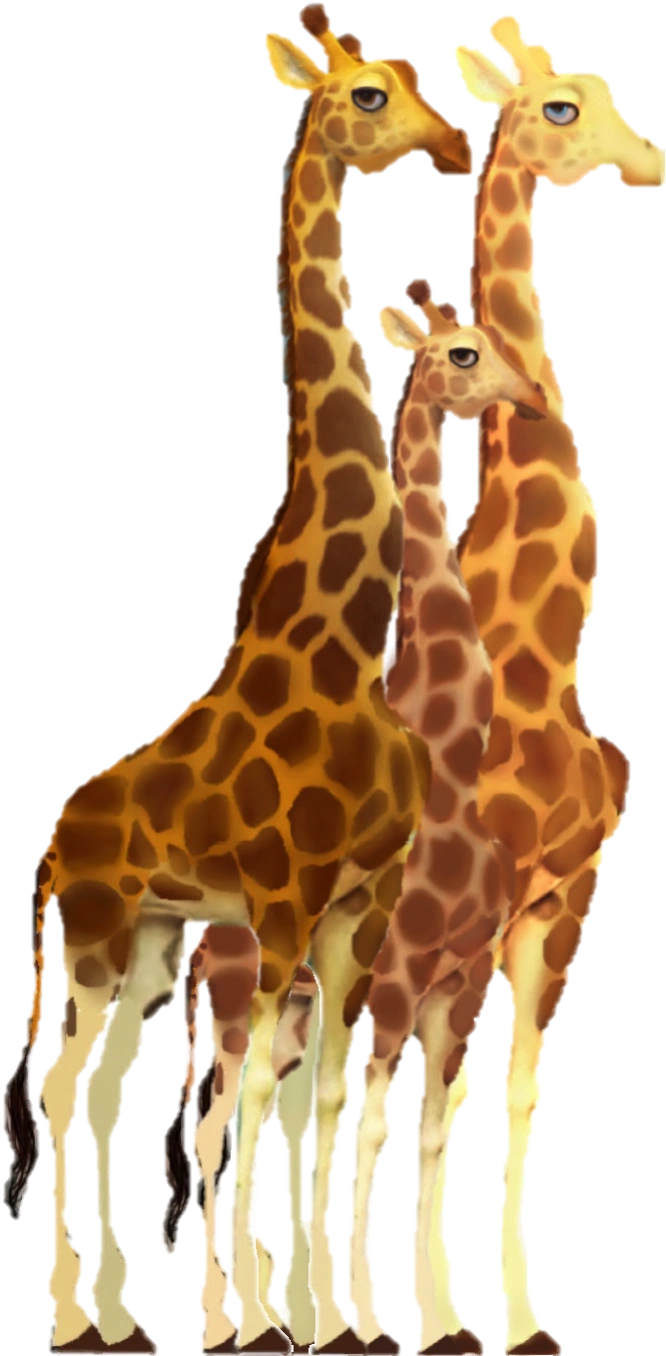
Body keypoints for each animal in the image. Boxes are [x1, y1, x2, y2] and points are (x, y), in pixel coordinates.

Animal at [172, 286, 547, 1355]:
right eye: (464, 353)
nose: (531, 398)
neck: (453, 765)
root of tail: (200, 938)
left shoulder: (459, 985)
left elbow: (422, 1134)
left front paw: (445, 1321)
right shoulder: (399, 982)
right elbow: (371, 1131)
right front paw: (380, 1320)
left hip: (294, 1013)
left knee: (244, 1122)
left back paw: (254, 1314)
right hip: (244, 1007)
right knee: (215, 1124)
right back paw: (239, 1320)